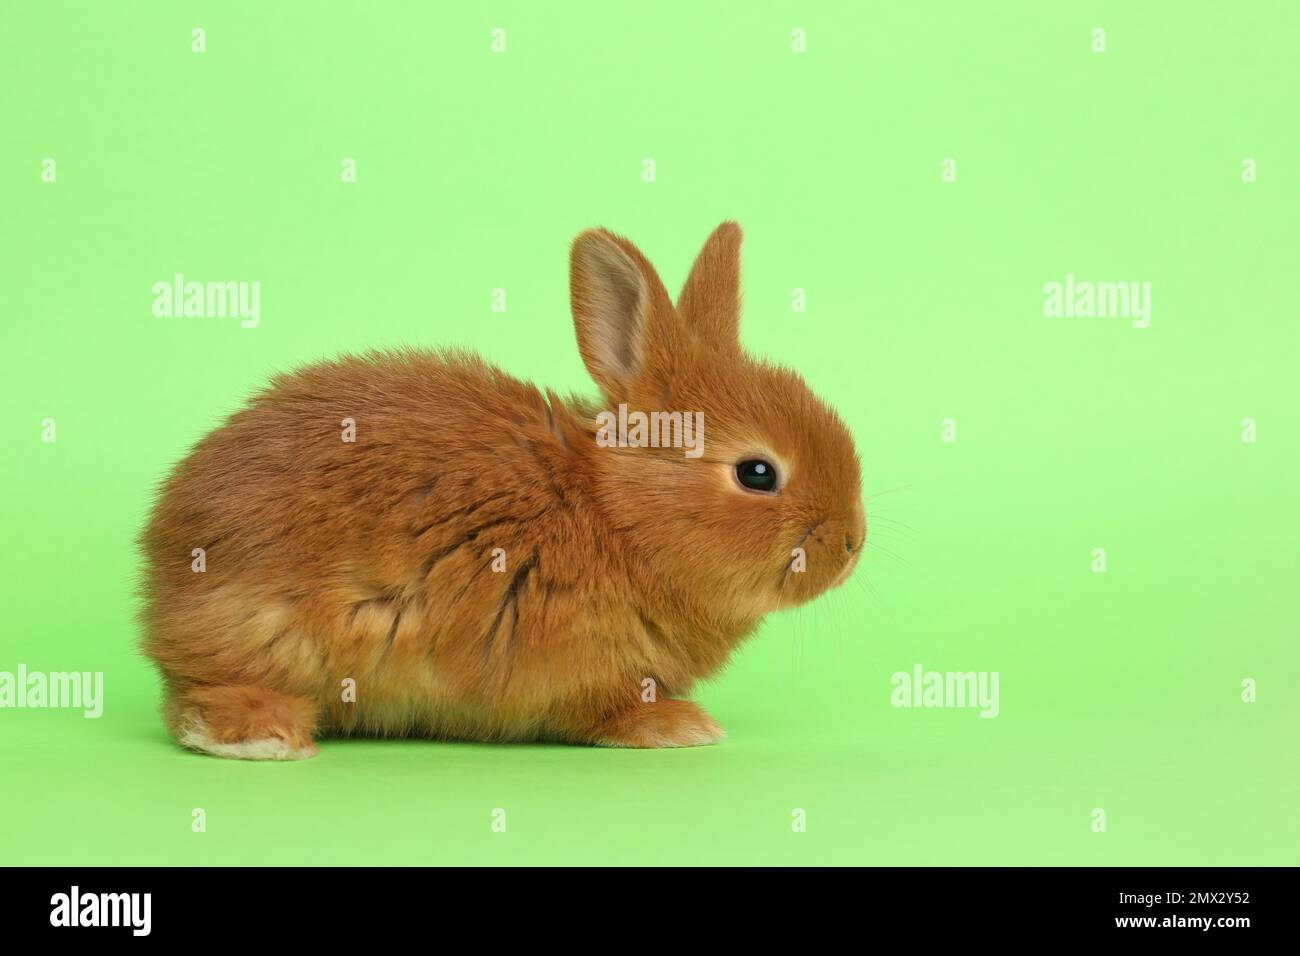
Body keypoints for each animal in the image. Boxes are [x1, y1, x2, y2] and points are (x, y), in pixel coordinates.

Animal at [138, 222, 866, 759]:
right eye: (757, 473)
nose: (852, 544)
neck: (615, 513)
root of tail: (161, 562)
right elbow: (606, 711)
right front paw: (677, 727)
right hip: (266, 635)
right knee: (198, 703)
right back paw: (265, 736)